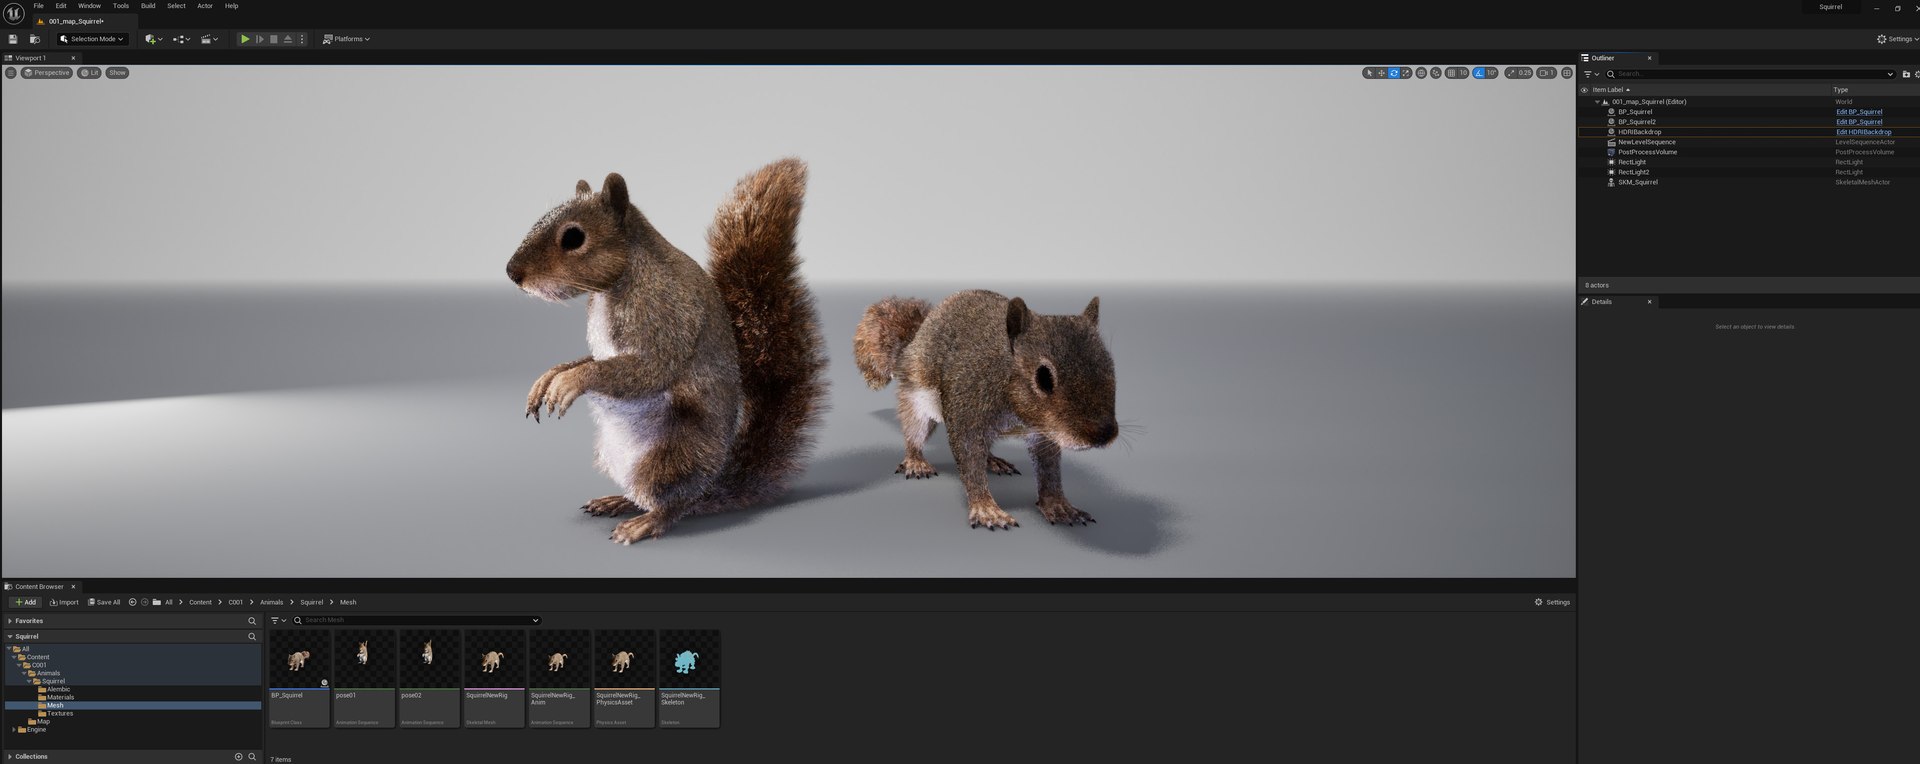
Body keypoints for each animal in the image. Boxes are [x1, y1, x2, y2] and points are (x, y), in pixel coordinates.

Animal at [506, 159, 829, 544]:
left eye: (573, 238)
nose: (512, 273)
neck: (615, 285)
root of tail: (709, 488)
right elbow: (593, 359)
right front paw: (550, 377)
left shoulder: (668, 314)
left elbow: (649, 368)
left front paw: (571, 381)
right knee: (646, 497)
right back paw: (618, 501)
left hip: (670, 457)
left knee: (671, 504)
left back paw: (644, 523)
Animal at [855, 290, 1118, 530]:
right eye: (1043, 377)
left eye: (1110, 365)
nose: (1103, 434)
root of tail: (912, 342)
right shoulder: (966, 406)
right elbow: (969, 456)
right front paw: (986, 509)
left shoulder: (1045, 431)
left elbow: (1049, 467)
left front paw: (1058, 505)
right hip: (915, 397)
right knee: (914, 432)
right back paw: (916, 461)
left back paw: (993, 460)